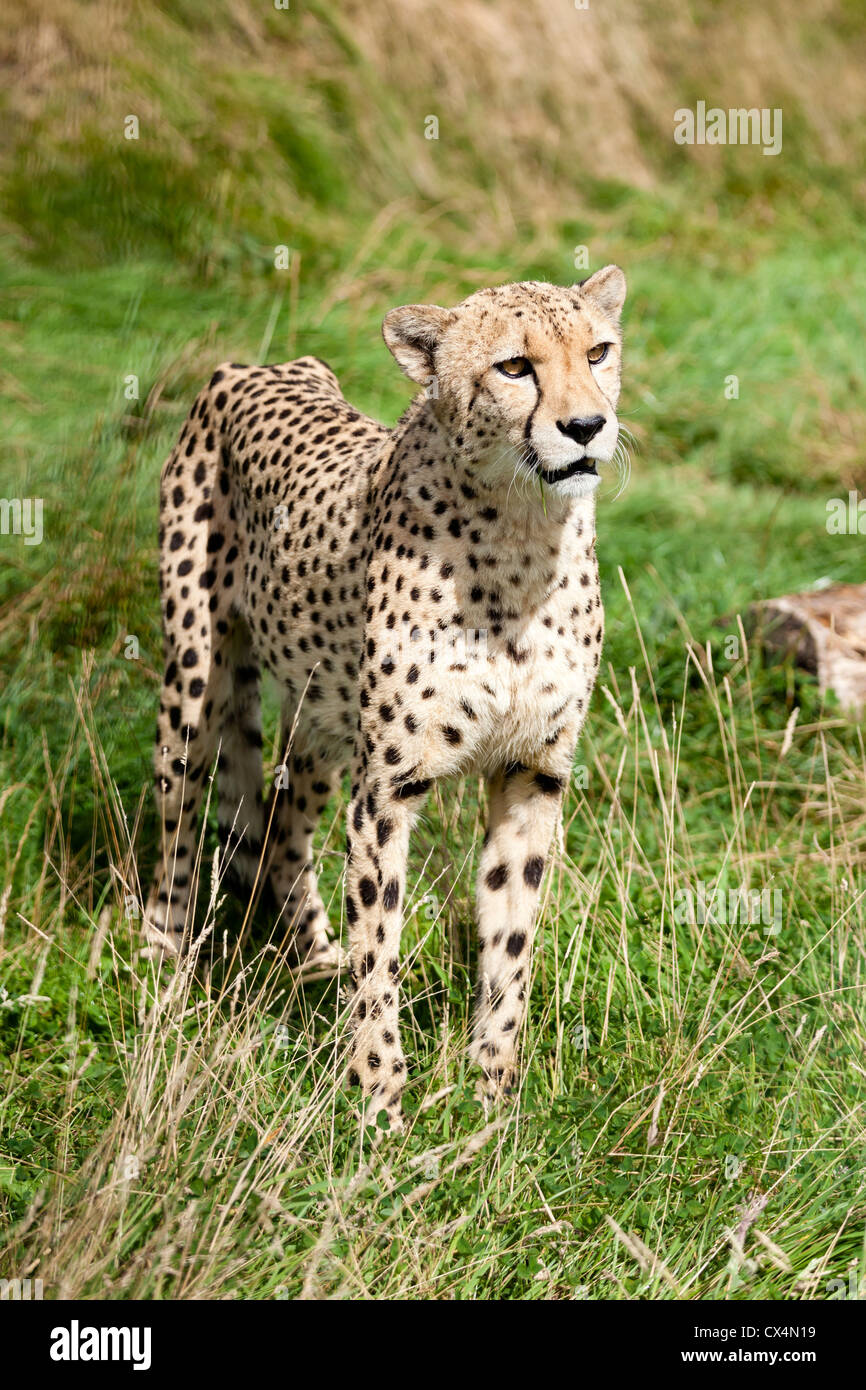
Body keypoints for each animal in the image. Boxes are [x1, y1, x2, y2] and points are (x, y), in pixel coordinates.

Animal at [145, 265, 627, 1130]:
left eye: (599, 352)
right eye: (514, 367)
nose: (585, 426)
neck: (523, 534)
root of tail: (257, 365)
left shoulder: (532, 774)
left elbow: (511, 939)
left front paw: (492, 1102)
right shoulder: (389, 787)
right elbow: (382, 945)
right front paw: (379, 1107)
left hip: (321, 714)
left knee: (283, 820)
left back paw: (313, 958)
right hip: (194, 674)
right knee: (177, 816)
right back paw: (164, 968)